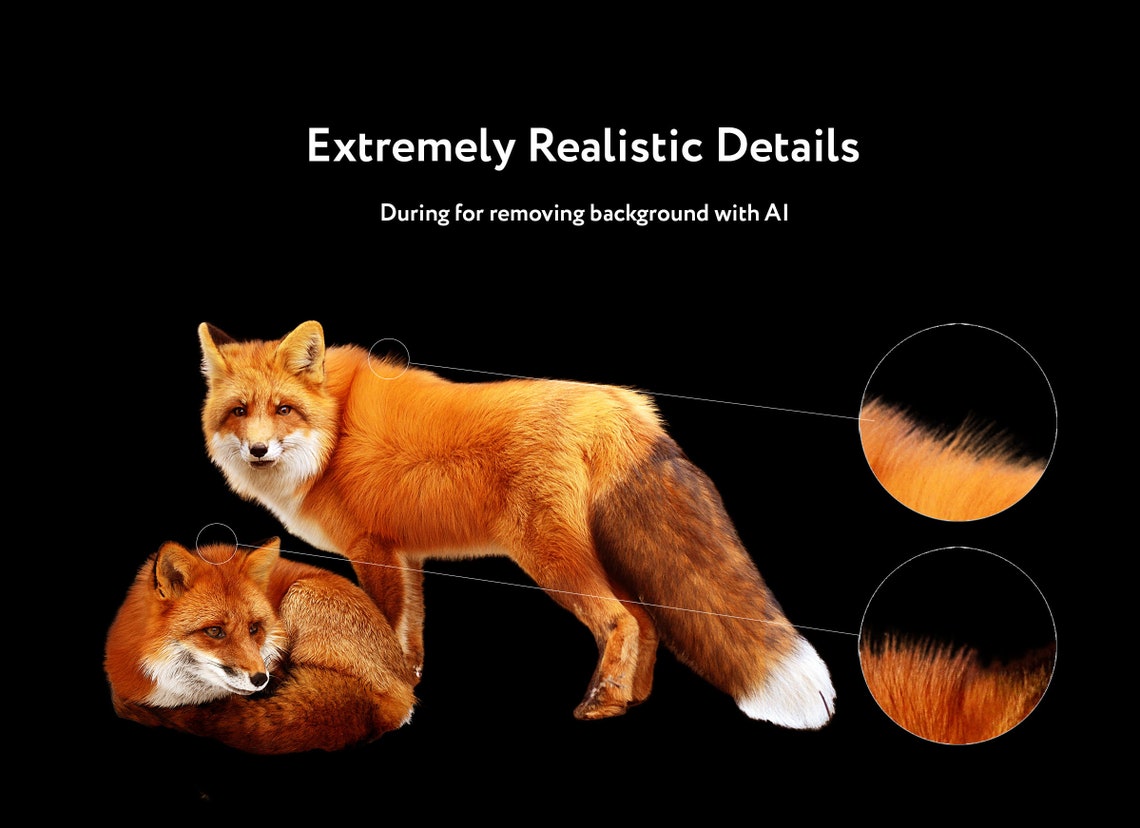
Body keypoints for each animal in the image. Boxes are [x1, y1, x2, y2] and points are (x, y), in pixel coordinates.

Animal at [197, 320, 836, 729]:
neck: (333, 436)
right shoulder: (408, 555)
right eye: (239, 412)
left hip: (549, 558)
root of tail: (622, 404)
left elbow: (384, 625)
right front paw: (408, 680)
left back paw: (603, 704)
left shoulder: (372, 548)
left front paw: (391, 687)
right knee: (646, 622)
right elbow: (411, 636)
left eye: (283, 409)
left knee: (621, 621)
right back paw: (632, 699)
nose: (257, 450)